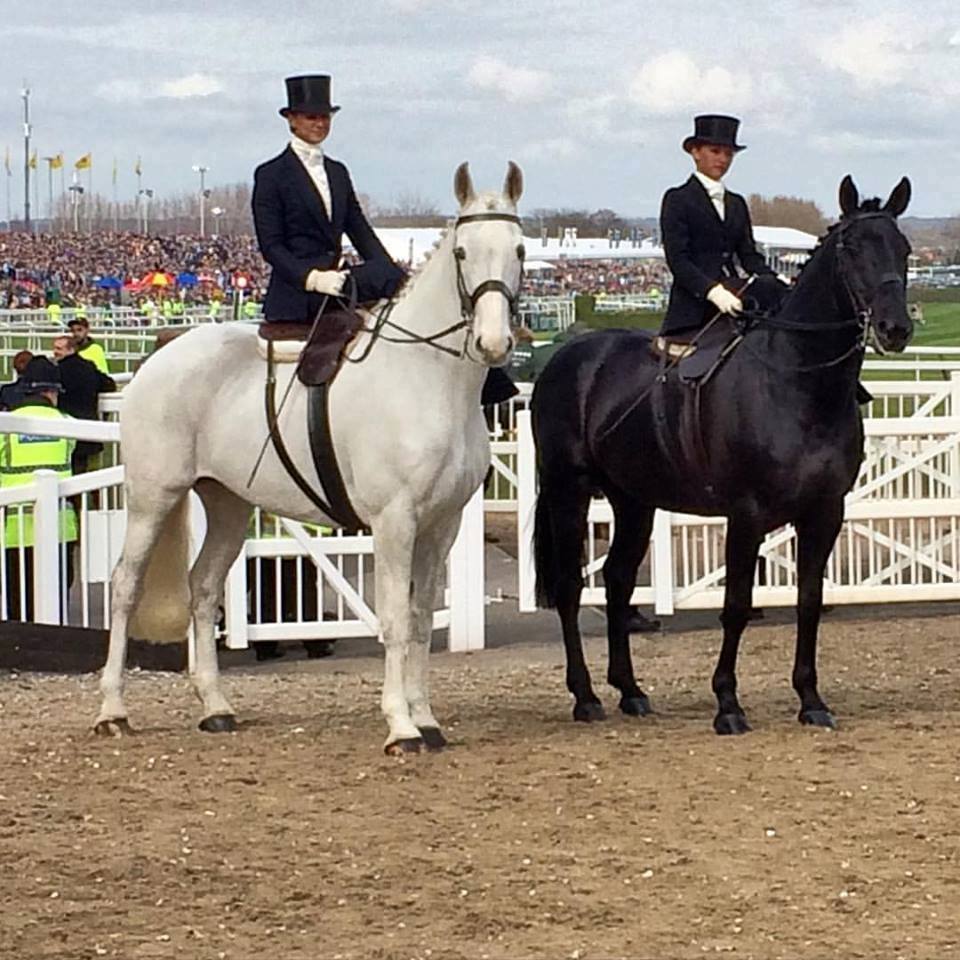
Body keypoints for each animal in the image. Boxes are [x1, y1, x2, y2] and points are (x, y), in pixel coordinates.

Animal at [94, 161, 525, 754]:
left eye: (520, 250)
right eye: (462, 252)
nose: (493, 342)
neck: (428, 378)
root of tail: (162, 356)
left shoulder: (443, 524)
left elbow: (418, 619)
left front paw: (426, 719)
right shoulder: (395, 521)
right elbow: (394, 618)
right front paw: (400, 726)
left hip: (227, 504)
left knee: (203, 588)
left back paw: (216, 707)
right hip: (152, 497)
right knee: (125, 587)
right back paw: (112, 709)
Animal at [531, 175, 913, 734]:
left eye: (903, 249)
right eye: (851, 248)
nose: (895, 328)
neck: (797, 382)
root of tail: (566, 357)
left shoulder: (825, 513)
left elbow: (809, 602)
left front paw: (810, 700)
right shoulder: (746, 515)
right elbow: (736, 605)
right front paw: (728, 703)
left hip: (633, 500)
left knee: (618, 581)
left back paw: (630, 690)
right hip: (569, 491)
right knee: (568, 589)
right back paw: (585, 696)